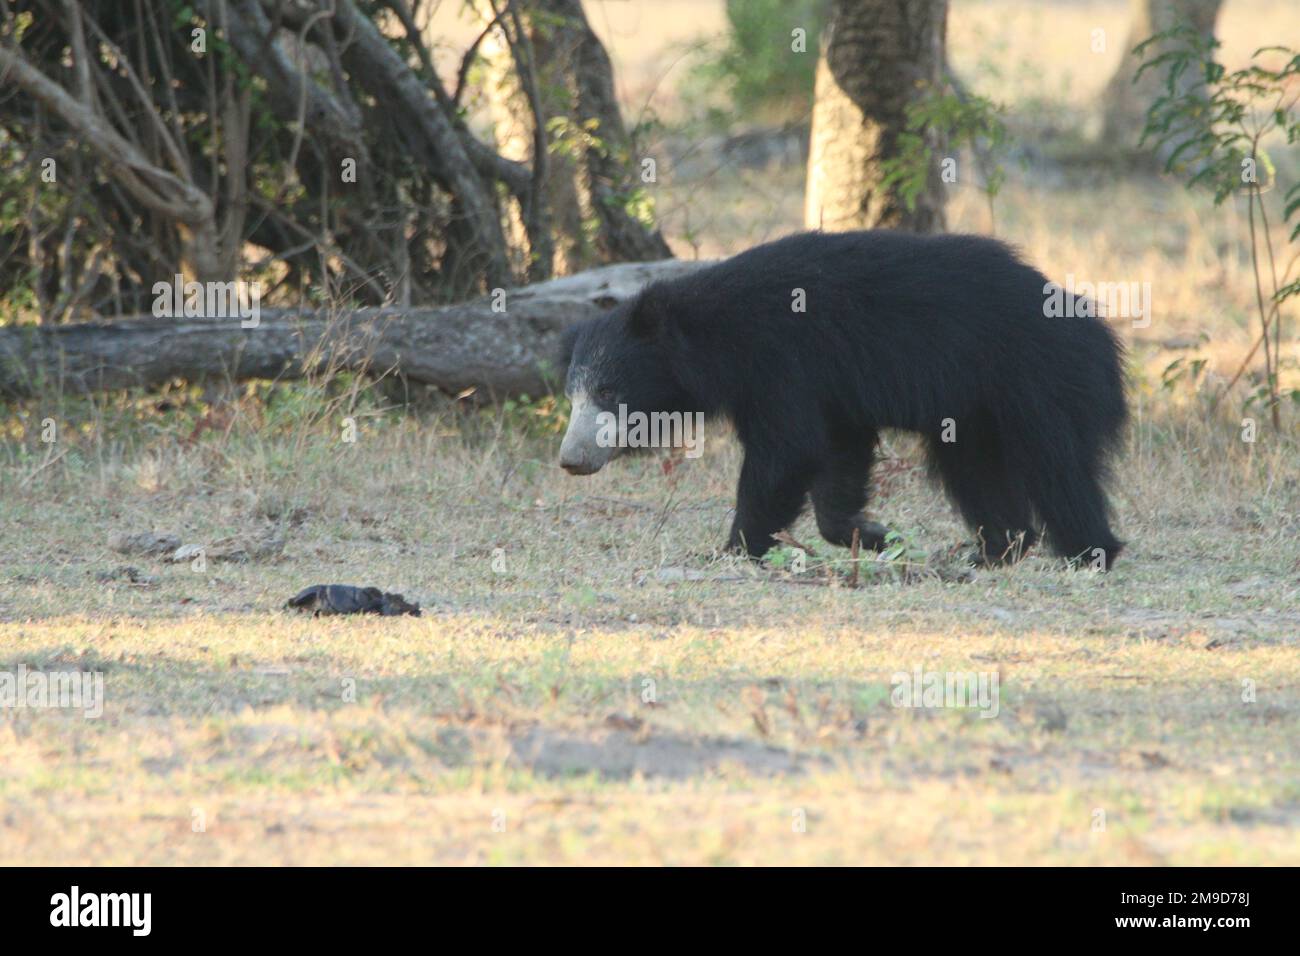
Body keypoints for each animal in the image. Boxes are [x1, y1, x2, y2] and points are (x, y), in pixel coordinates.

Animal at [558, 230, 1128, 568]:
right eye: (572, 396)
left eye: (608, 391)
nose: (571, 459)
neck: (714, 338)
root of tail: (1096, 329)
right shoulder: (830, 390)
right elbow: (838, 451)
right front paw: (872, 534)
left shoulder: (784, 363)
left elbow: (788, 451)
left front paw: (736, 548)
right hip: (974, 414)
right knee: (975, 472)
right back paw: (996, 550)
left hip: (1039, 383)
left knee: (1057, 469)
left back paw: (1090, 551)